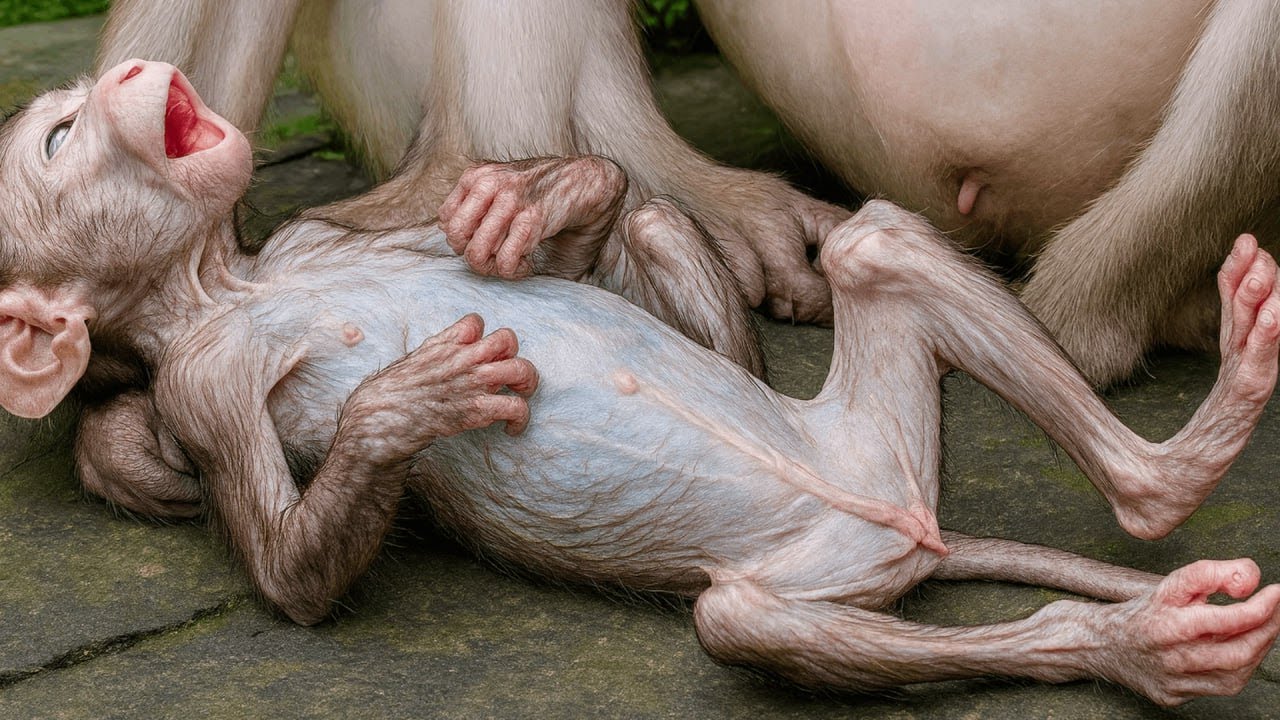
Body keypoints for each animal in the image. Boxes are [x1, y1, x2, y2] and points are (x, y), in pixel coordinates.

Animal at [3, 61, 1279, 707]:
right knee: (735, 621)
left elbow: (530, 232)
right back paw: (1138, 639)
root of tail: (909, 527)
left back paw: (1182, 458)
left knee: (863, 243)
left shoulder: (320, 238)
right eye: (59, 140)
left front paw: (522, 205)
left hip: (873, 441)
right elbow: (288, 576)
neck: (228, 285)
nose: (137, 65)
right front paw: (402, 405)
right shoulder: (203, 386)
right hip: (804, 578)